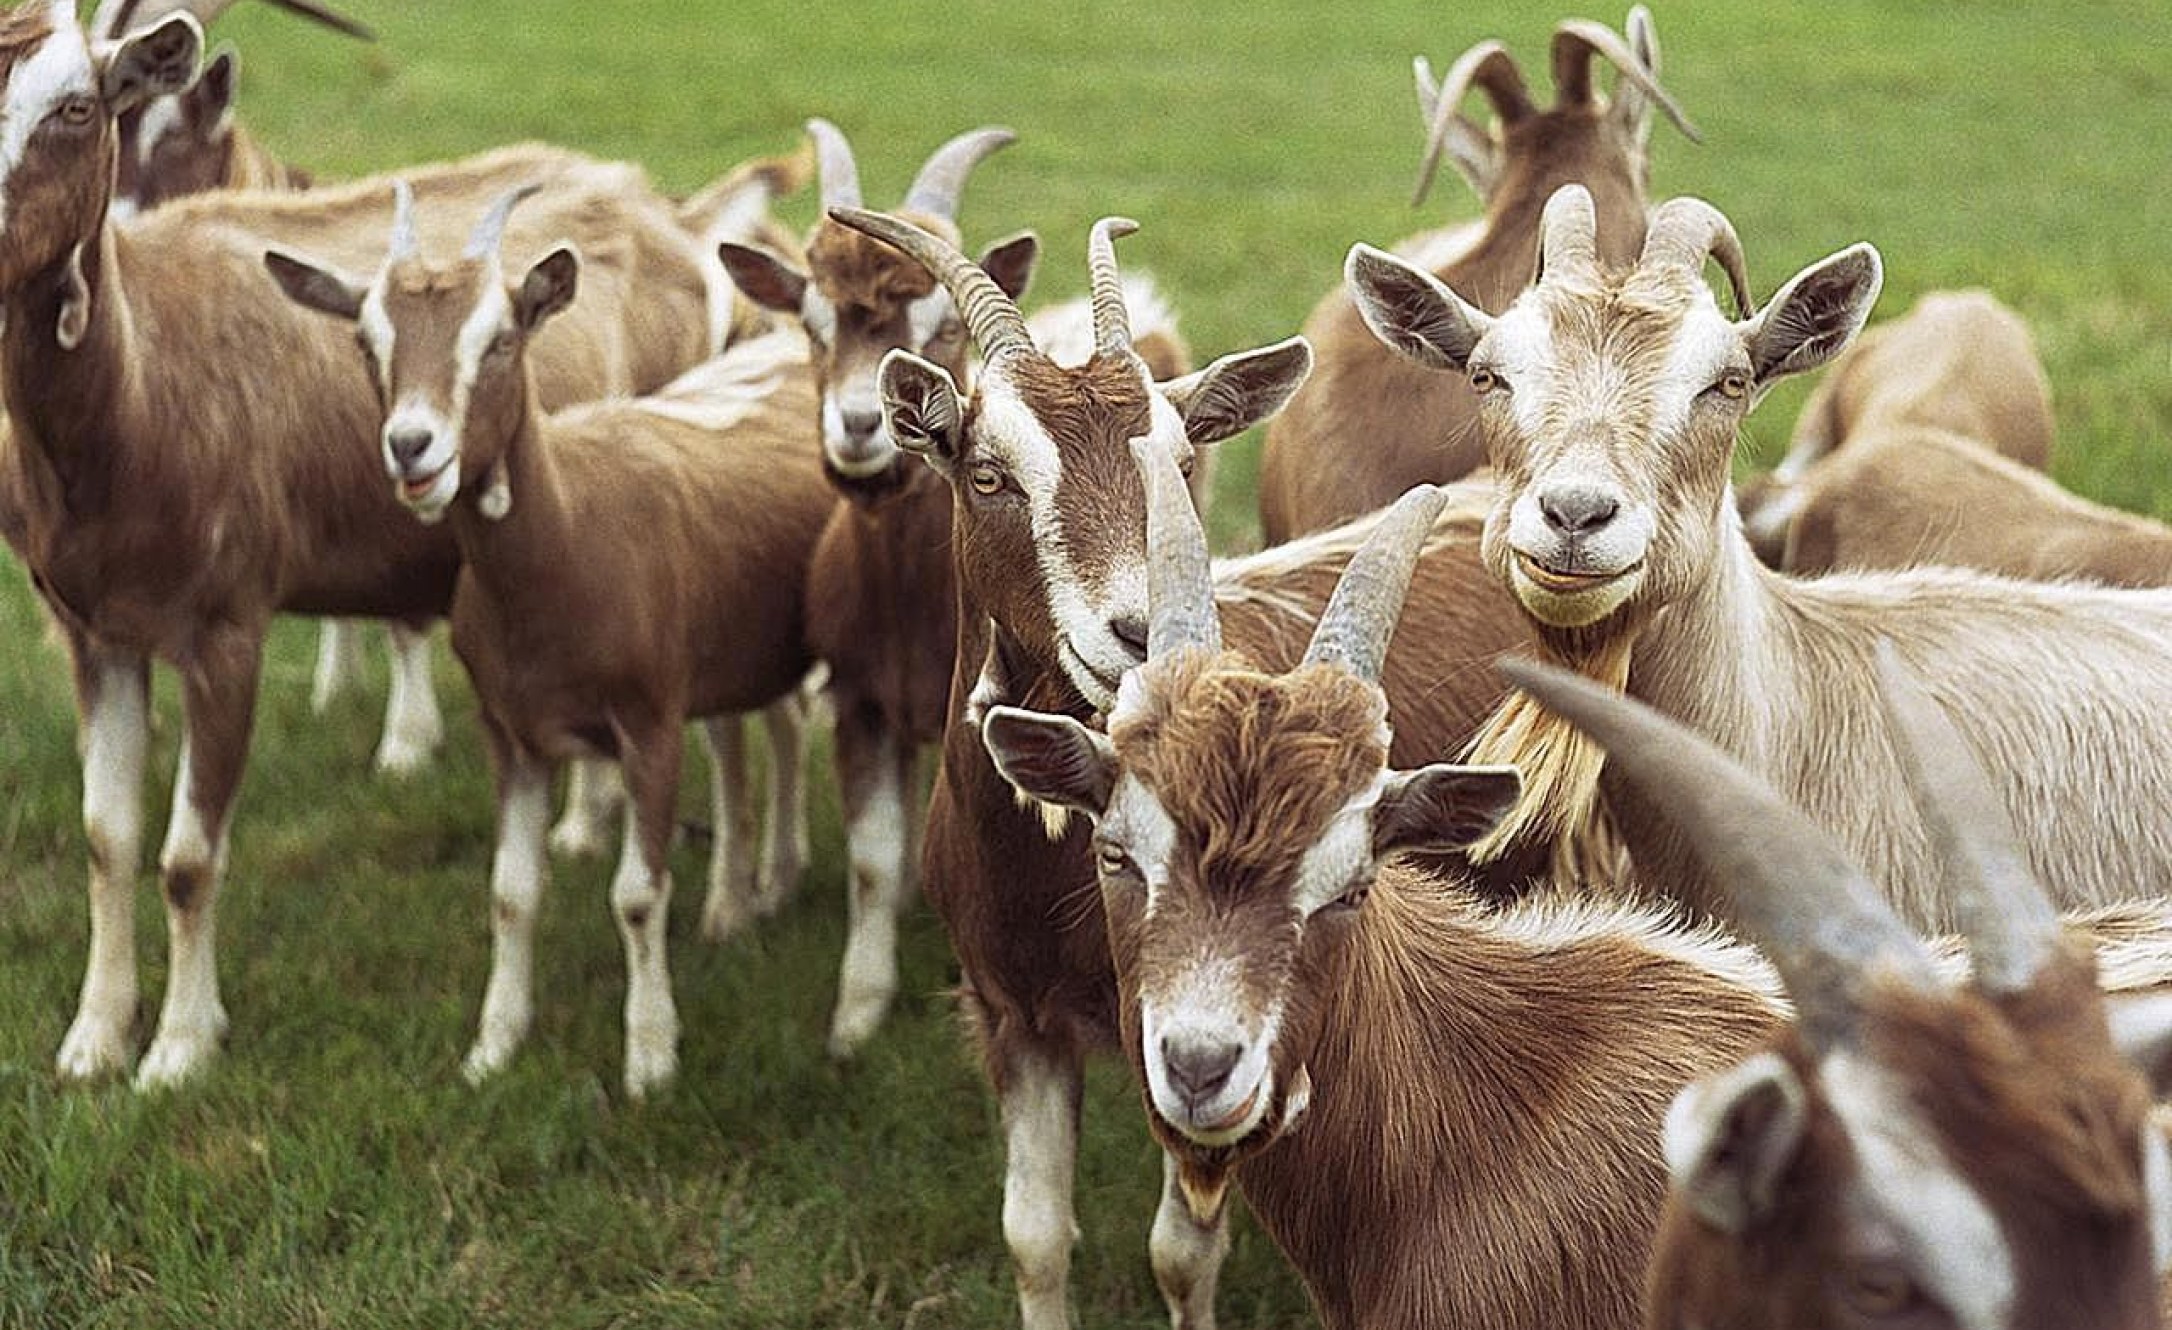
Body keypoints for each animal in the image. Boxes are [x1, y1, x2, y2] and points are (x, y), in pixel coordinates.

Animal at [0, 2, 732, 1088]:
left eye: (80, 106)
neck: (142, 390)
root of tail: (657, 211)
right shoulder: (98, 633)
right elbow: (107, 837)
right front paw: (94, 1039)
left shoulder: (227, 627)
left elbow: (187, 859)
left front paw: (179, 1048)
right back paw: (584, 820)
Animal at [718, 118, 1196, 1056]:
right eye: (988, 473)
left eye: (943, 327)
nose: (859, 428)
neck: (905, 600)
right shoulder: (860, 702)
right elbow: (873, 861)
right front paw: (856, 1018)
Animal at [830, 205, 1539, 1328]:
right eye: (986, 470)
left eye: (1185, 460)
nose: (1133, 630)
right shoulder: (1012, 1010)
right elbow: (1033, 1237)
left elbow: (1178, 1252)